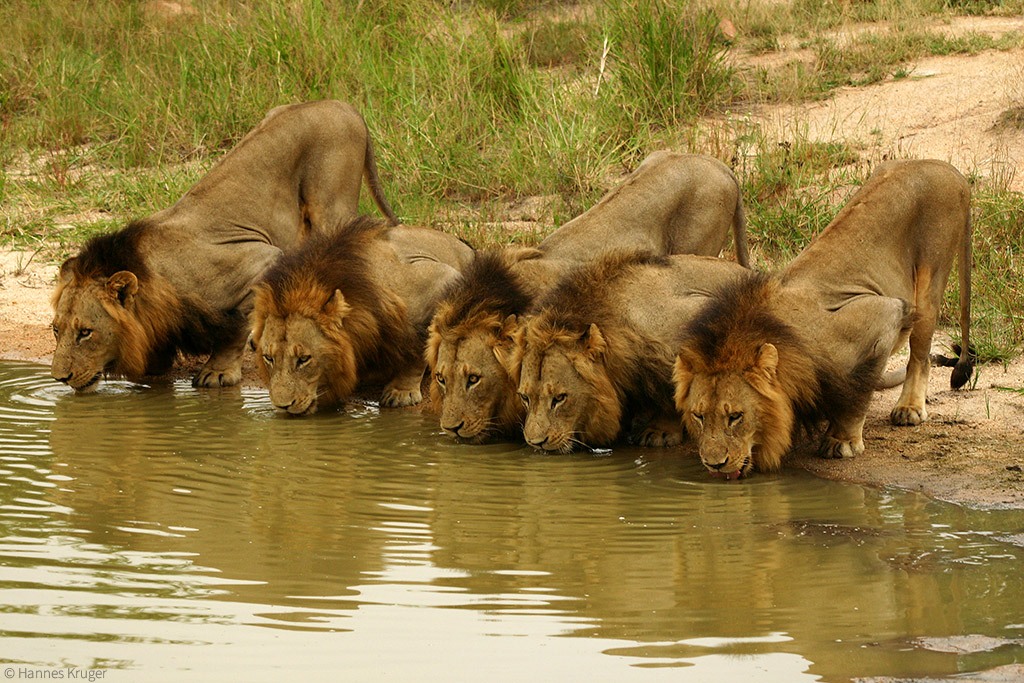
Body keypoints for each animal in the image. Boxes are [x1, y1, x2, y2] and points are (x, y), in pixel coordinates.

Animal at [51, 99, 398, 391]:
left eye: (85, 332)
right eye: (56, 330)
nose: (59, 377)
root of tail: (342, 104)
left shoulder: (261, 260)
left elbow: (233, 330)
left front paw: (217, 372)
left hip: (330, 205)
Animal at [251, 216, 474, 415]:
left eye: (304, 359)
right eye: (269, 358)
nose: (282, 406)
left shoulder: (442, 278)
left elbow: (417, 346)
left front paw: (401, 392)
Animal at [507, 251, 748, 452]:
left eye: (559, 398)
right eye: (525, 397)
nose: (536, 443)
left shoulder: (695, 314)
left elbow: (674, 389)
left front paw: (661, 431)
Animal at [673, 159, 973, 479]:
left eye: (735, 416)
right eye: (699, 416)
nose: (713, 464)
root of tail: (945, 167)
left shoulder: (885, 315)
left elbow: (857, 395)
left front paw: (842, 441)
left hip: (930, 279)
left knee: (920, 355)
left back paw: (909, 408)